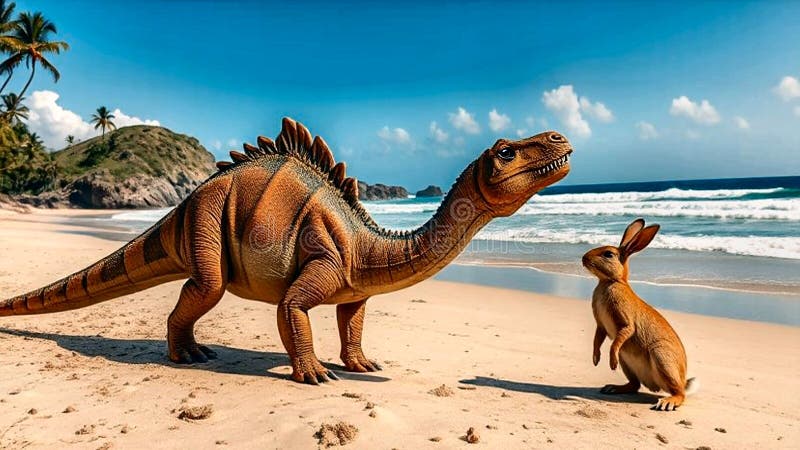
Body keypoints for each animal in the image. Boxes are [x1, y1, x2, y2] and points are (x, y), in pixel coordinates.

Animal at [582, 218, 698, 411]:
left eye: (608, 254)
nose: (583, 258)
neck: (610, 282)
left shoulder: (625, 322)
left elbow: (621, 336)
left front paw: (610, 363)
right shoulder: (601, 325)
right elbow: (597, 340)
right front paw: (595, 359)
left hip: (661, 356)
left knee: (679, 393)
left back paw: (667, 403)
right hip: (627, 361)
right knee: (634, 385)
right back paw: (612, 388)